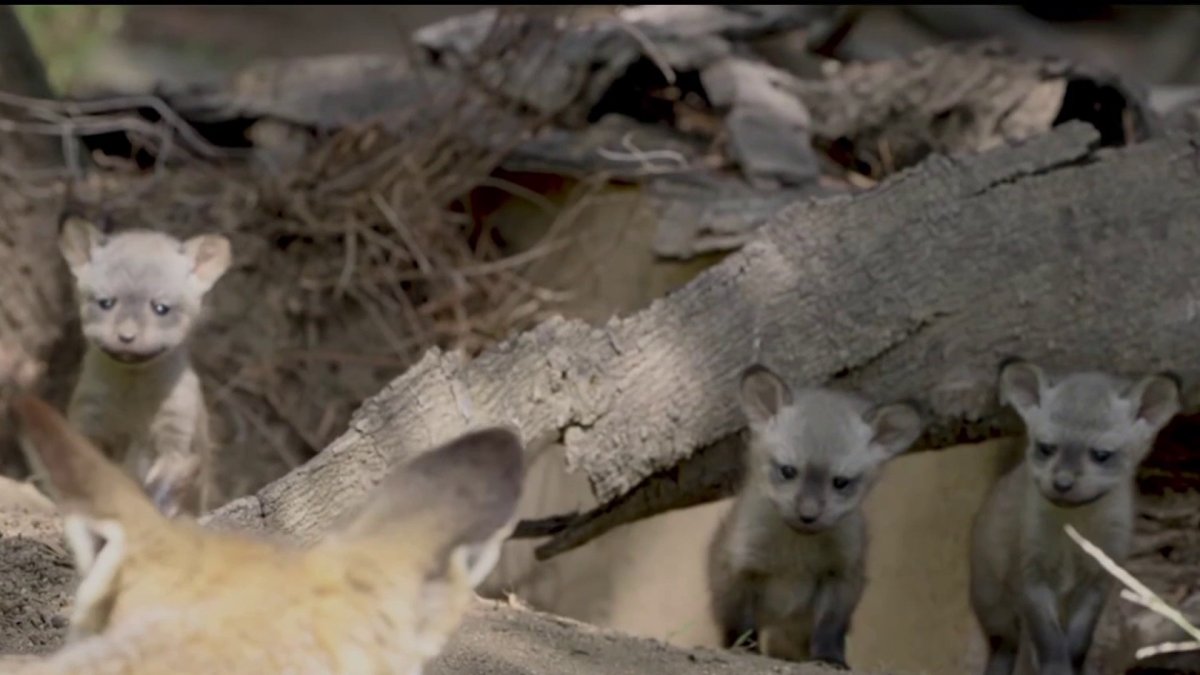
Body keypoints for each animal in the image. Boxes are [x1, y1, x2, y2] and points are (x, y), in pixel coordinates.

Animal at [55, 215, 232, 517]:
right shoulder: (88, 420)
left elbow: (158, 487)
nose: (126, 336)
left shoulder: (177, 435)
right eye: (105, 302)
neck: (133, 398)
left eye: (161, 307)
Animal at [706, 363, 924, 667]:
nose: (807, 515)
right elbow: (742, 629)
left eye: (841, 482)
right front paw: (744, 653)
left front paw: (830, 659)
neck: (796, 556)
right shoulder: (739, 569)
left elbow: (830, 627)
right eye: (788, 471)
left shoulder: (841, 574)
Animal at [969, 358, 1181, 675]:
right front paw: (1056, 669)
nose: (1062, 483)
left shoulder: (1098, 580)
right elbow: (1049, 643)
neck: (1073, 536)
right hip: (995, 608)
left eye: (1102, 454)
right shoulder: (1030, 576)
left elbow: (1079, 642)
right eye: (1046, 448)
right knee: (1007, 646)